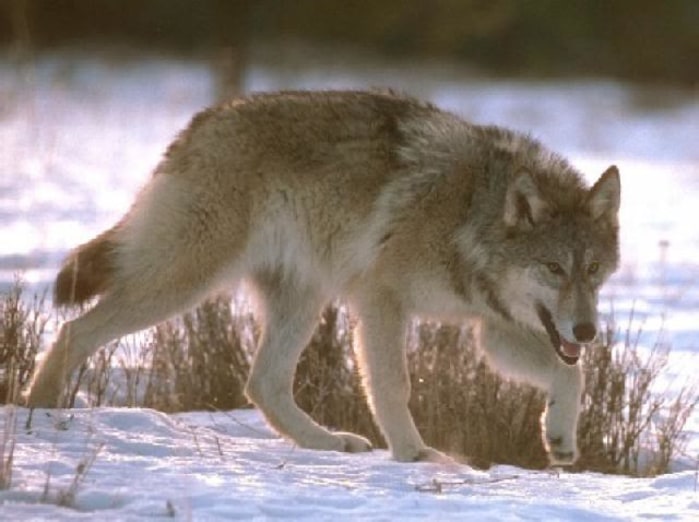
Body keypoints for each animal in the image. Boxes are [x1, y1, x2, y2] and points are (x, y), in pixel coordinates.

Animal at [25, 90, 620, 464]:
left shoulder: (492, 331)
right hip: (184, 282)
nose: (588, 331)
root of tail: (201, 122)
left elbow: (571, 375)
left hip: (300, 301)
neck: (470, 213)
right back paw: (37, 413)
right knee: (75, 330)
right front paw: (413, 455)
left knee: (262, 383)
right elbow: (393, 385)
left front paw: (560, 439)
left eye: (592, 270)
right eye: (553, 268)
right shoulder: (381, 299)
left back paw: (327, 443)